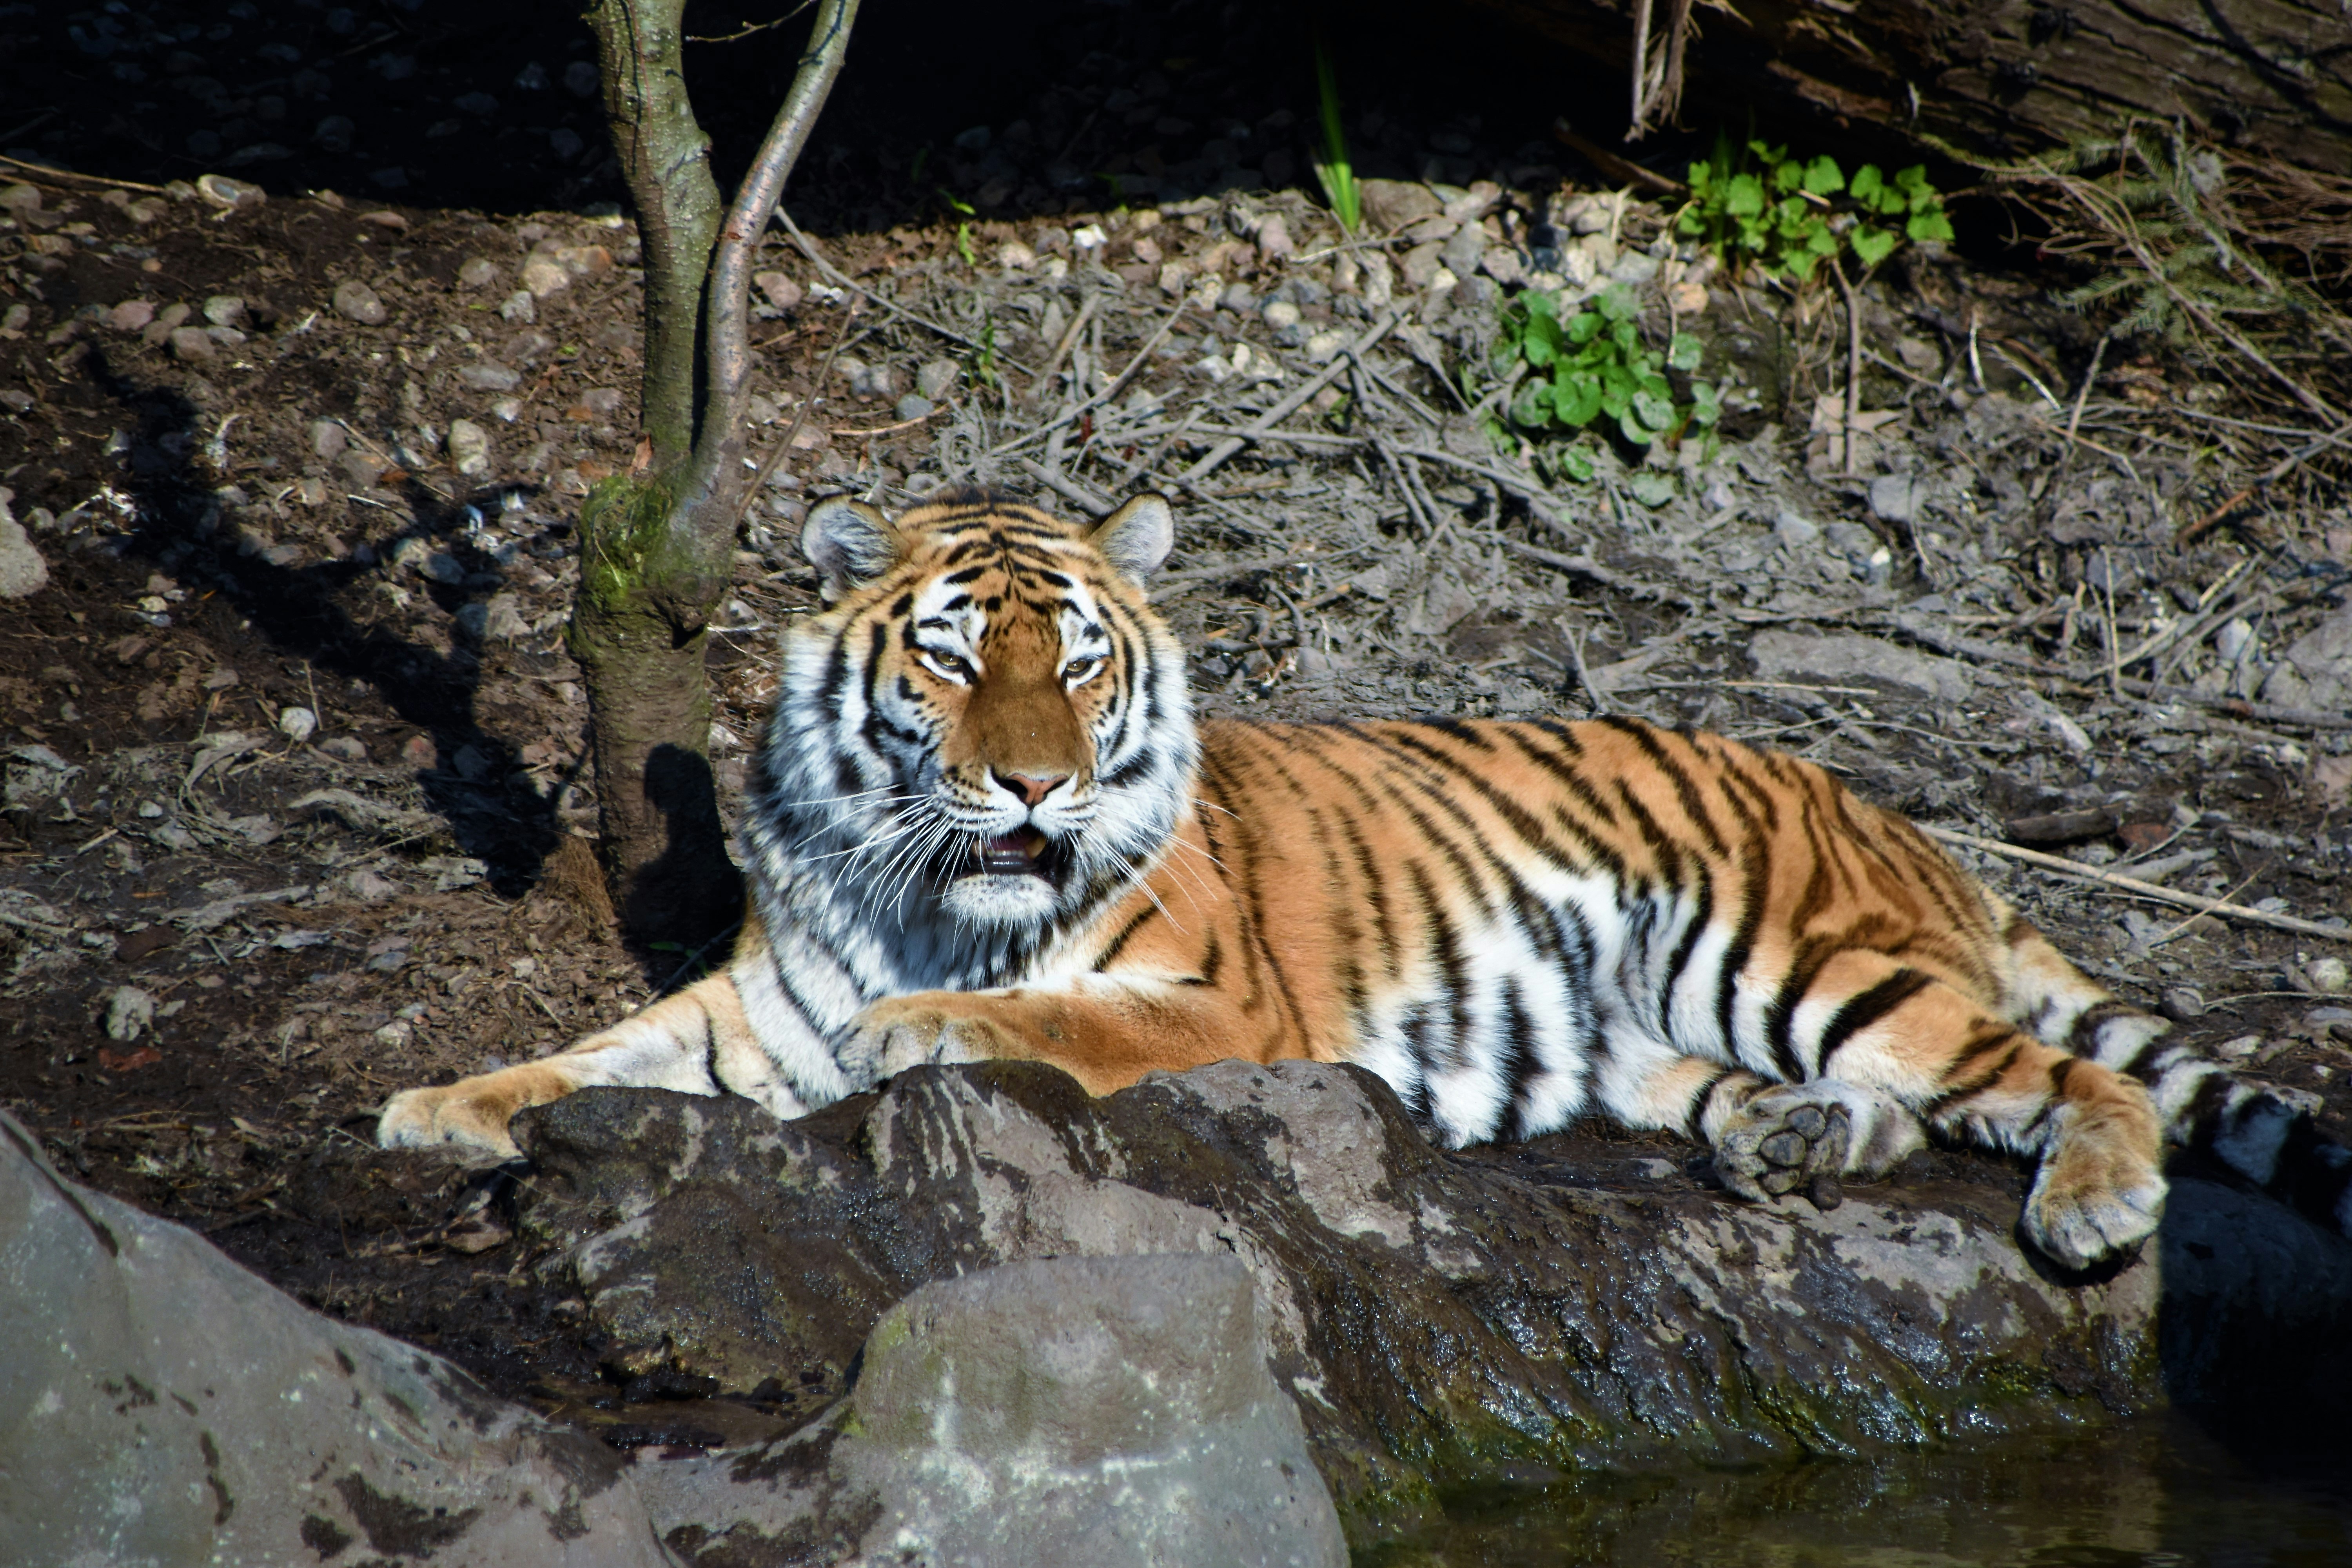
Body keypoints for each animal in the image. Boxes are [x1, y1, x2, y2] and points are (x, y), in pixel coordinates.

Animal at [377, 486, 2352, 1269]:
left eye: (1073, 661)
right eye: (946, 660)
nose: (1035, 774)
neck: (925, 888)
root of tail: (1901, 816)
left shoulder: (1226, 1002)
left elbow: (1043, 1017)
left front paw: (927, 1031)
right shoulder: (759, 1002)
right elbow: (602, 1055)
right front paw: (434, 1108)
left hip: (1791, 952)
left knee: (2065, 1069)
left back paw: (2091, 1202)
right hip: (1670, 1029)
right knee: (1882, 1095)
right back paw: (1794, 1143)